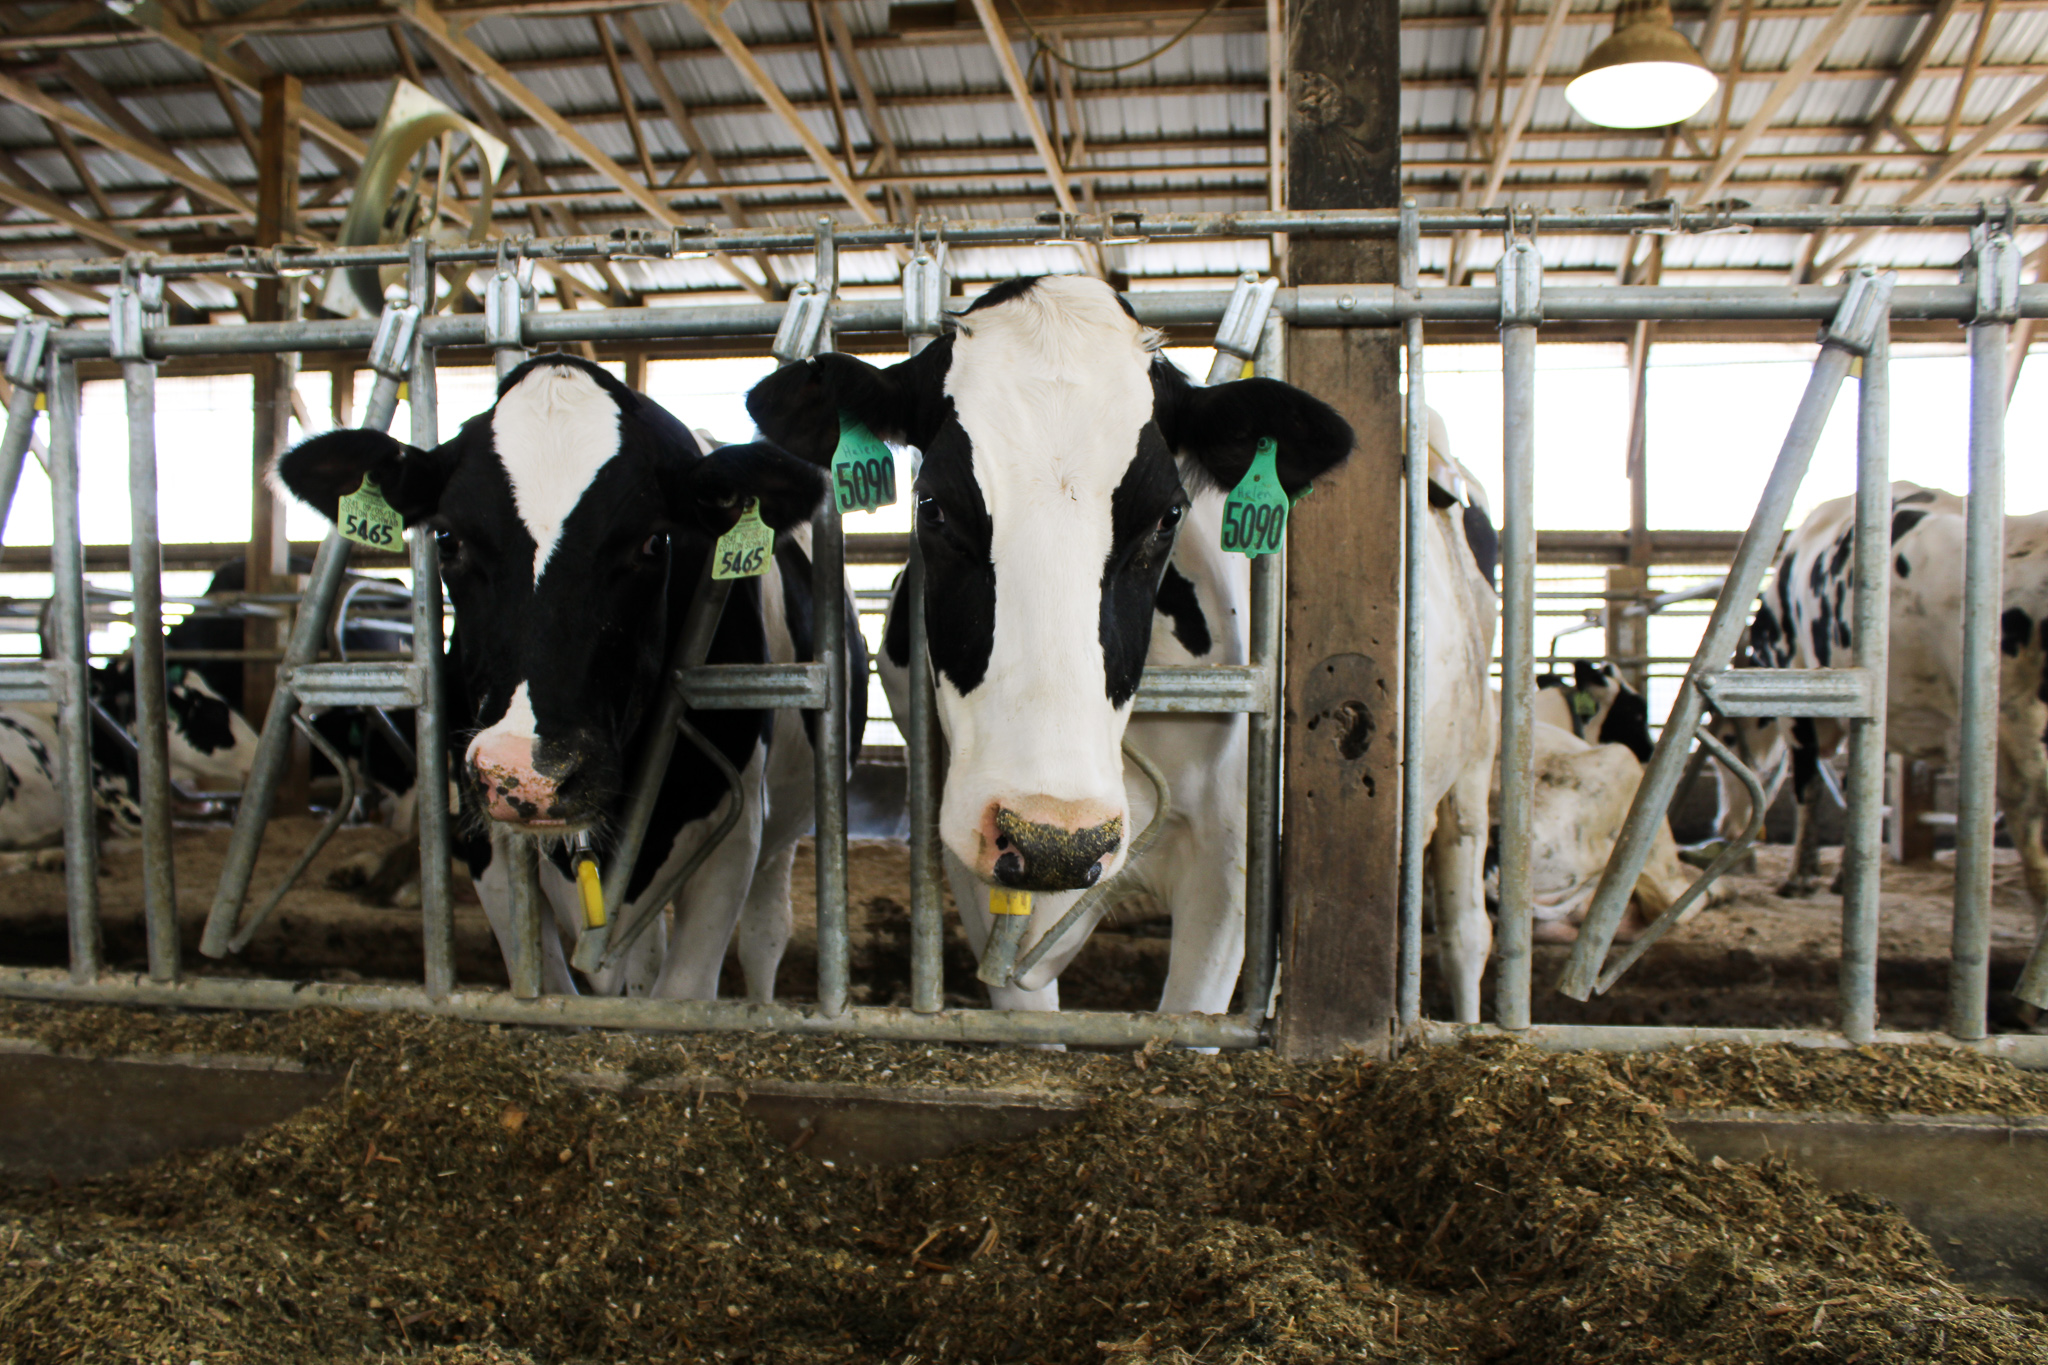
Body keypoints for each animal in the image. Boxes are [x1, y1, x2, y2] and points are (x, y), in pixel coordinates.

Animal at [275, 354, 862, 999]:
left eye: (653, 540)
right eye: (448, 539)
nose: (527, 773)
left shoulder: (733, 833)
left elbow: (684, 990)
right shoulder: (484, 840)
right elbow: (547, 985)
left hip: (782, 834)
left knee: (764, 936)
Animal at [749, 274, 1500, 1020]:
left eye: (1168, 515)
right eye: (931, 505)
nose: (1056, 834)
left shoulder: (1233, 868)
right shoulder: (976, 853)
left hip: (1473, 764)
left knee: (1469, 926)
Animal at [1717, 482, 2048, 909]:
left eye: (1727, 739)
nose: (1725, 826)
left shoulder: (1798, 703)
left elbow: (1809, 786)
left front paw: (1800, 876)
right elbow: (1863, 790)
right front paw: (1845, 875)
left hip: (2014, 730)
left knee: (2031, 822)